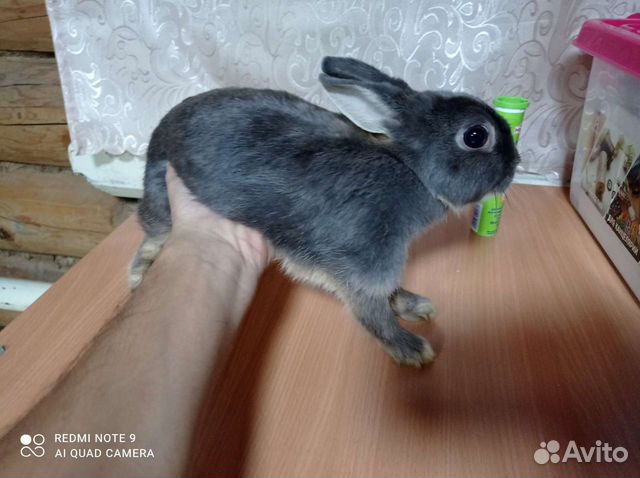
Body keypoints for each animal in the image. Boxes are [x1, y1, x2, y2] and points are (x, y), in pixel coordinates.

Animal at [130, 56, 520, 367]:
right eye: (475, 136)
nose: (516, 163)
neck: (413, 173)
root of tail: (160, 131)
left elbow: (390, 294)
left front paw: (414, 306)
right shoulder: (365, 263)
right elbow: (373, 312)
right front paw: (411, 349)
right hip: (162, 202)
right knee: (151, 237)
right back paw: (138, 277)